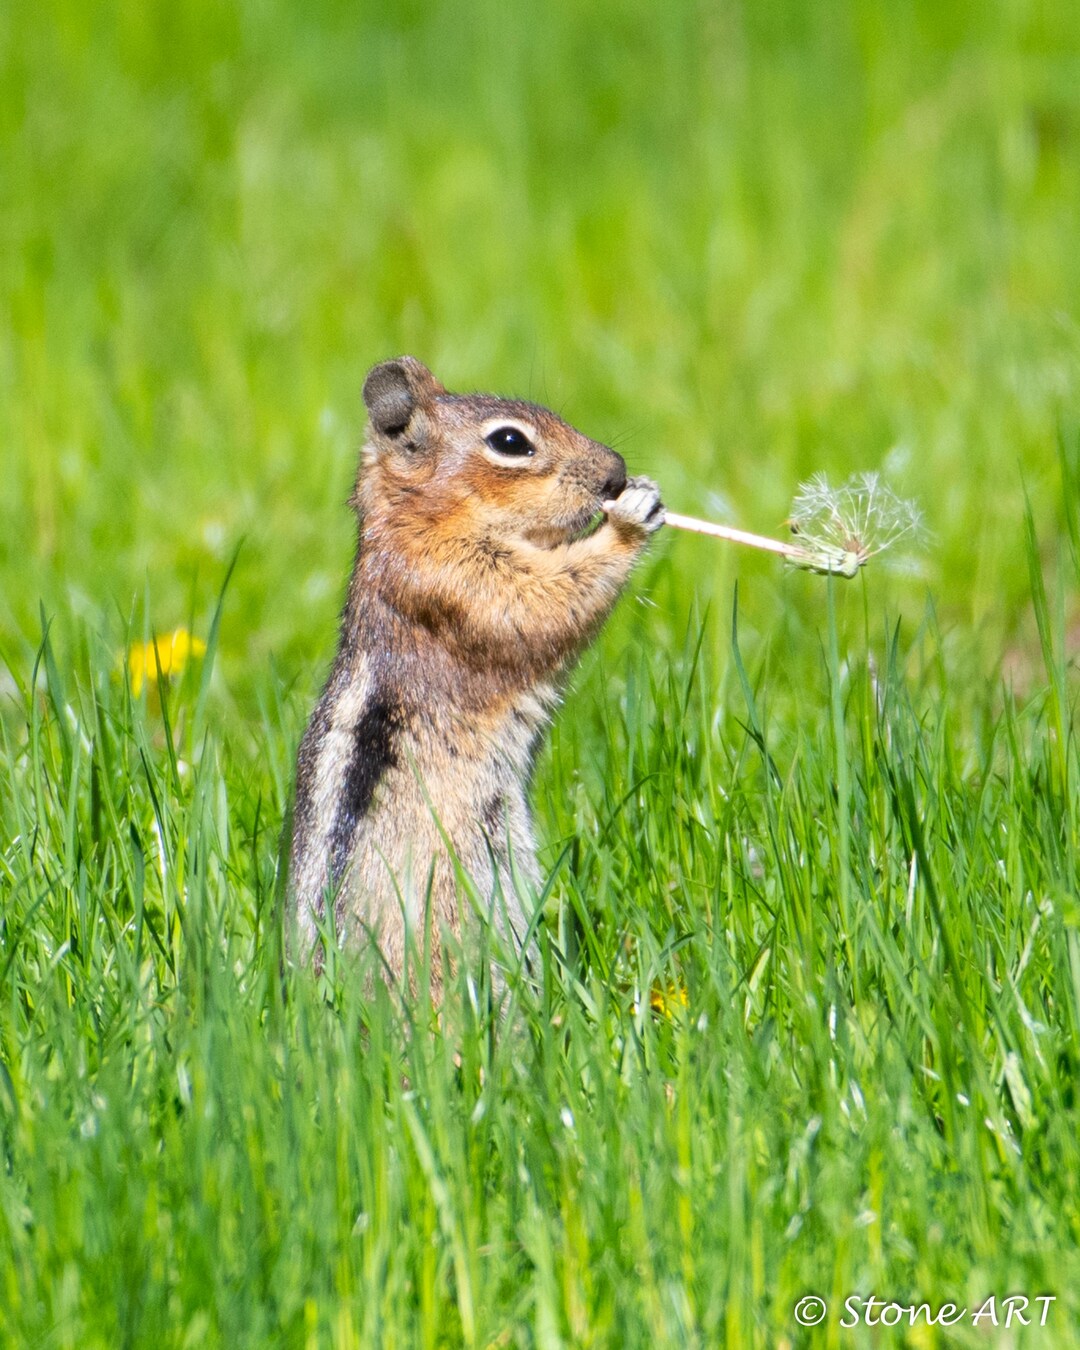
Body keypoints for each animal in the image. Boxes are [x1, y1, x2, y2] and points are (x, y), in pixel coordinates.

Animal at [287, 356, 664, 996]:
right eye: (510, 442)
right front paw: (631, 521)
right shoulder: (457, 585)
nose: (615, 474)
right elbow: (544, 602)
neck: (422, 518)